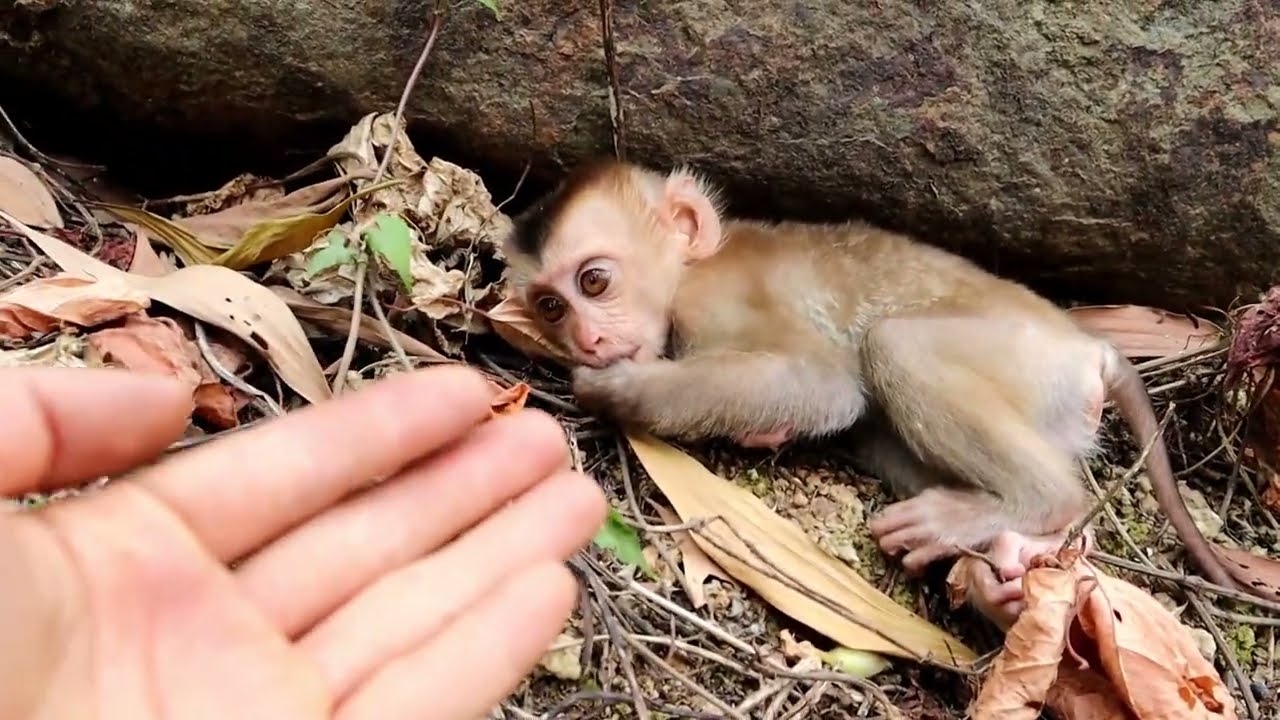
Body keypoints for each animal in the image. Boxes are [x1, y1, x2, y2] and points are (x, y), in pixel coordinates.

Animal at [499, 158, 1241, 620]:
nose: (587, 340)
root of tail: (1090, 348)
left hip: (1030, 363)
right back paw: (1005, 575)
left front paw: (617, 388)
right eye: (551, 307)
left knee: (894, 349)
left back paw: (1032, 505)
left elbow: (828, 387)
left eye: (595, 282)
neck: (690, 271)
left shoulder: (716, 302)